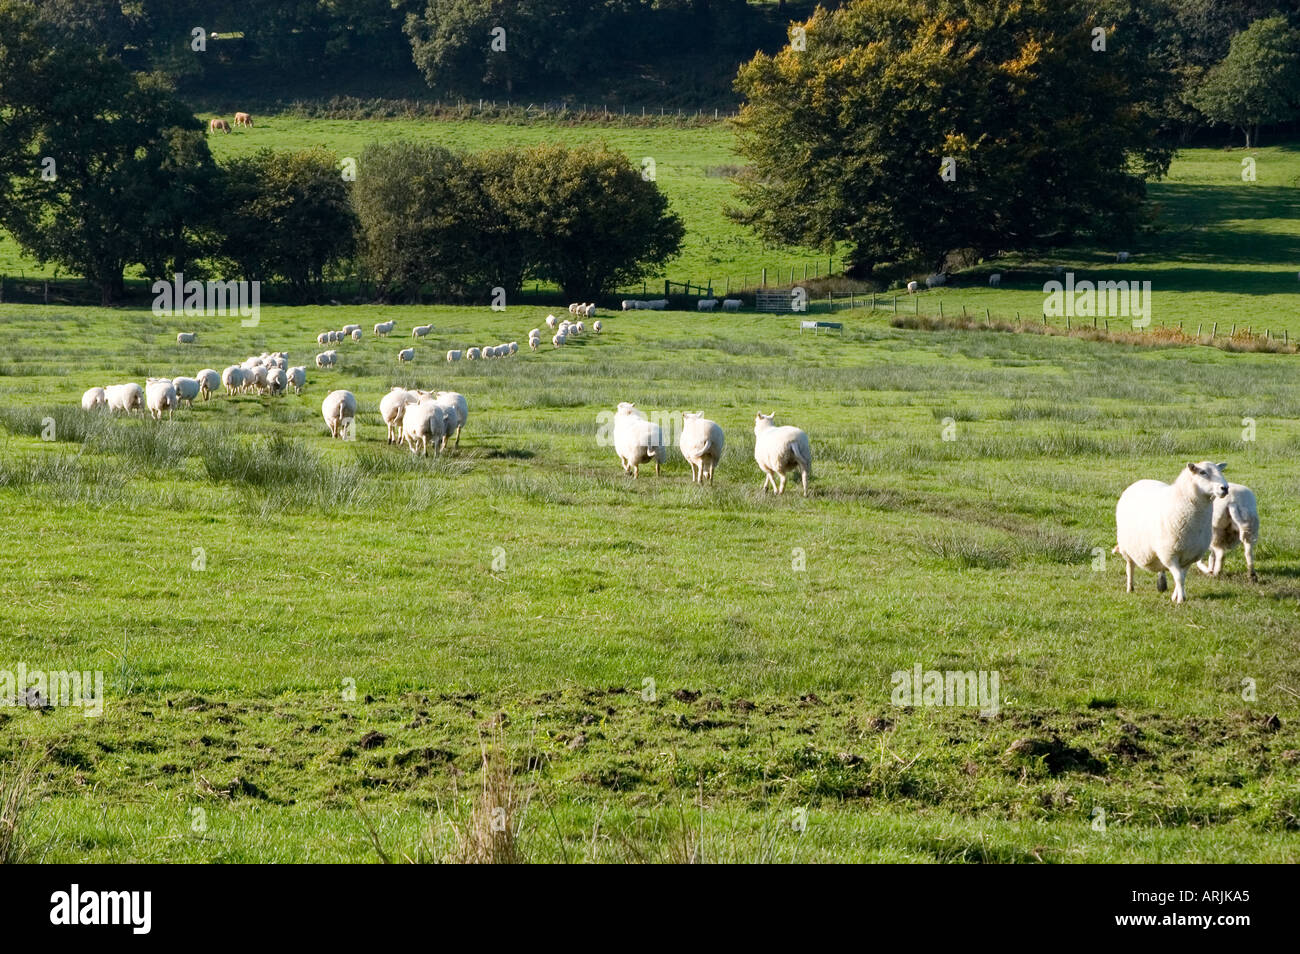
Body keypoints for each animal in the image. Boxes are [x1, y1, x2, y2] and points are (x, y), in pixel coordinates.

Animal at [1114, 461, 1229, 604]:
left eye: (1220, 471)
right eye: (1202, 472)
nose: (1225, 488)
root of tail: (1139, 481)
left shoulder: (1189, 556)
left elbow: (1182, 577)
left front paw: (1177, 595)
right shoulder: (1170, 554)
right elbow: (1179, 577)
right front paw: (1180, 599)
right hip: (1126, 548)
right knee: (1130, 567)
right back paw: (1130, 588)